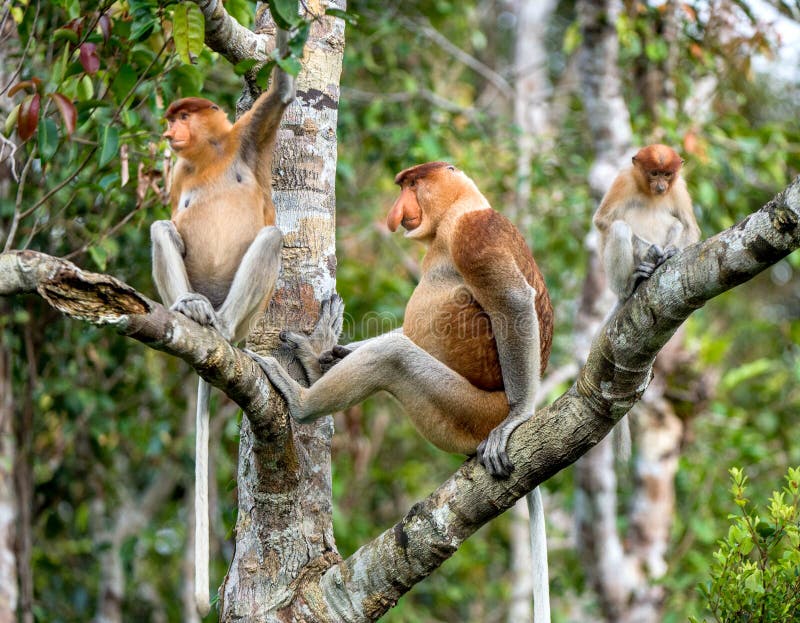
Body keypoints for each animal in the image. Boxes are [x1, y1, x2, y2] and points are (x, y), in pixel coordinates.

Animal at [149, 48, 294, 616]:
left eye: (184, 115)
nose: (168, 131)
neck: (208, 155)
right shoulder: (176, 174)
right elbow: (169, 215)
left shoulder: (248, 138)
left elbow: (279, 97)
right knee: (162, 229)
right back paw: (190, 311)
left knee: (271, 235)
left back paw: (226, 329)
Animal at [245, 162, 555, 622]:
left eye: (412, 184)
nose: (396, 212)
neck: (455, 215)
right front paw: (333, 351)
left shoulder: (475, 234)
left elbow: (513, 303)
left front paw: (519, 416)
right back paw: (318, 360)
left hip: (471, 411)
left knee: (394, 356)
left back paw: (301, 401)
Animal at [593, 144, 700, 301]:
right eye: (654, 173)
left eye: (667, 174)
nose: (661, 187)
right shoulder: (624, 180)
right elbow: (602, 219)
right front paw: (650, 251)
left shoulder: (679, 187)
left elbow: (689, 227)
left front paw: (672, 251)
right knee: (619, 229)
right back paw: (628, 286)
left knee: (677, 224)